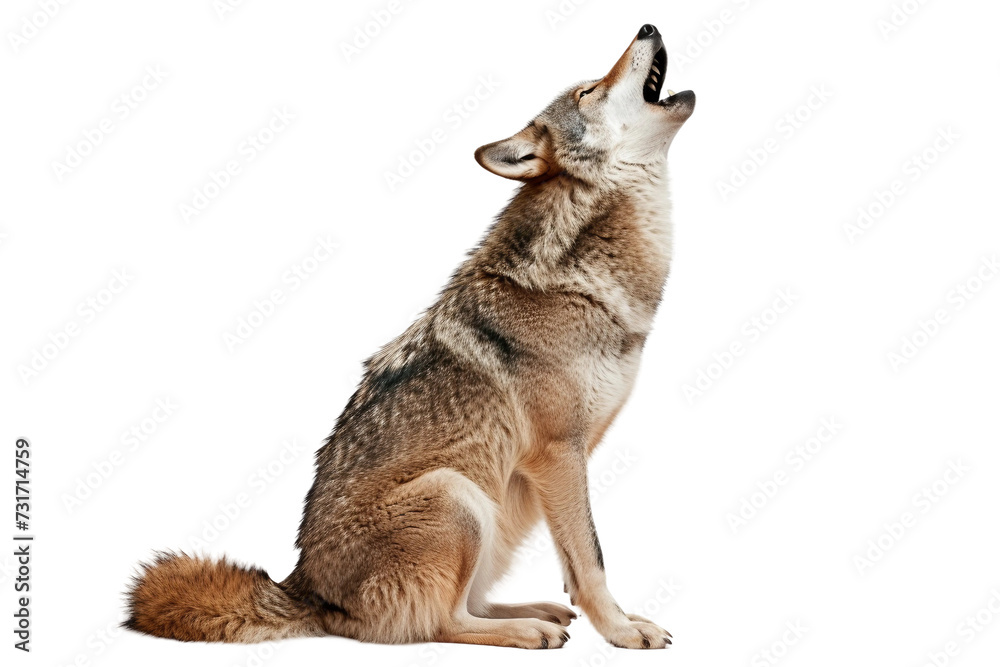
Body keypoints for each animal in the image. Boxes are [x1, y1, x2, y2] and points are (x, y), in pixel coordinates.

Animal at [125, 23, 695, 650]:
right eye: (588, 91)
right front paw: (622, 632)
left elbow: (574, 561)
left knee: (467, 604)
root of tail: (307, 592)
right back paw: (526, 630)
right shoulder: (559, 452)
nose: (646, 26)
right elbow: (591, 557)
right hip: (457, 493)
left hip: (494, 513)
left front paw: (612, 621)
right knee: (441, 621)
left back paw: (537, 612)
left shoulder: (565, 460)